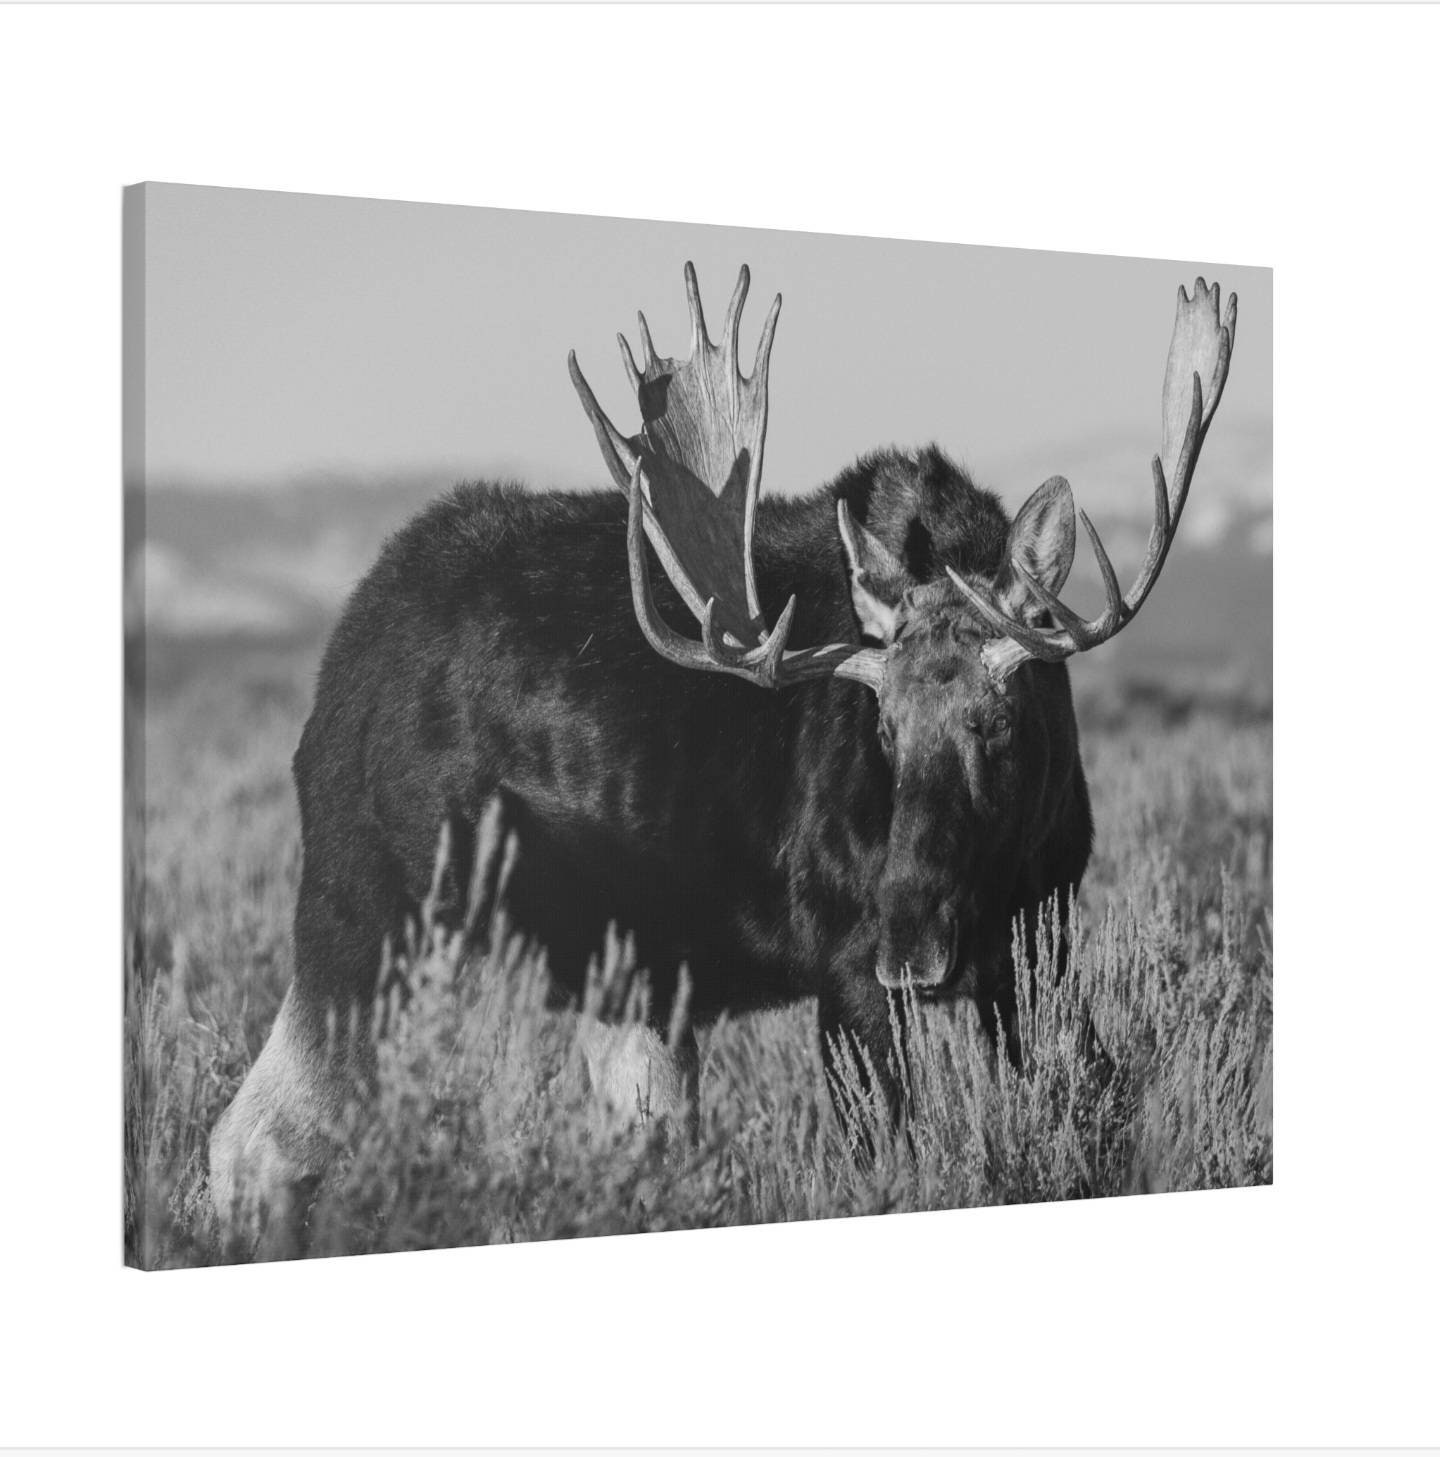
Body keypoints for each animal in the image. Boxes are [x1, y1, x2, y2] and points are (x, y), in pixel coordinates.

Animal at [209, 264, 1237, 1257]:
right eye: (883, 726)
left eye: (1002, 718)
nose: (915, 945)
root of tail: (336, 666)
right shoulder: (847, 970)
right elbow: (890, 1160)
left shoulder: (1039, 946)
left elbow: (1098, 1098)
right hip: (376, 910)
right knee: (261, 1135)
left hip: (619, 977)